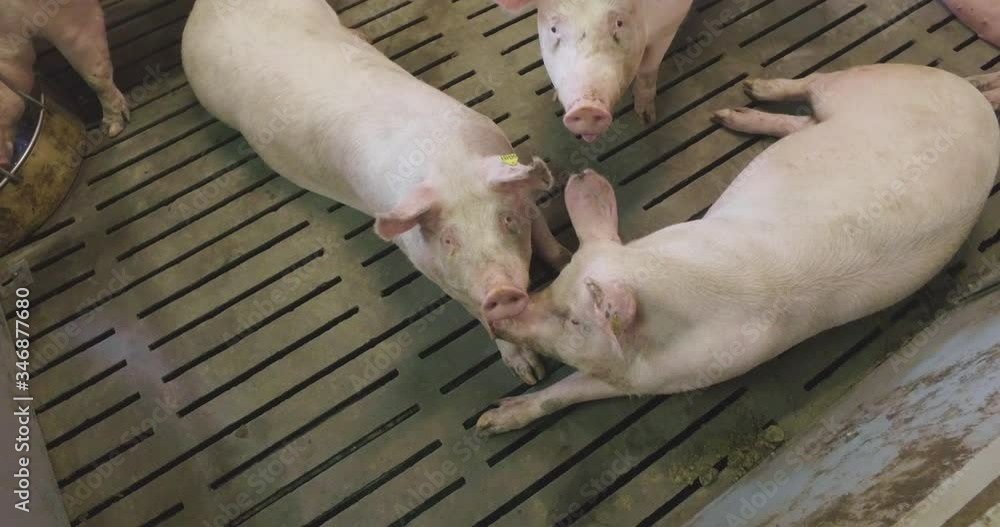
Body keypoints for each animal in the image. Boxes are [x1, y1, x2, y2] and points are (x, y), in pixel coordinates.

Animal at [182, 0, 571, 384]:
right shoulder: (425, 262)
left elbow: (545, 236)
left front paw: (567, 260)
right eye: (448, 239)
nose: (501, 292)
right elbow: (476, 311)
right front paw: (530, 374)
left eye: (507, 220)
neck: (449, 168)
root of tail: (203, 8)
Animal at [477, 64, 1000, 434]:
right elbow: (564, 392)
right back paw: (735, 107)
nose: (498, 307)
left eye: (575, 321)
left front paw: (488, 420)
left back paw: (750, 91)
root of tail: (969, 91)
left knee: (814, 85)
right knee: (806, 117)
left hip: (864, 83)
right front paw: (492, 420)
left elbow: (575, 388)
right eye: (559, 279)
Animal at [492, 0, 693, 141]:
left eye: (619, 23)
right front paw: (555, 98)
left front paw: (646, 119)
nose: (586, 108)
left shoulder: (671, 23)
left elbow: (648, 70)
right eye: (554, 29)